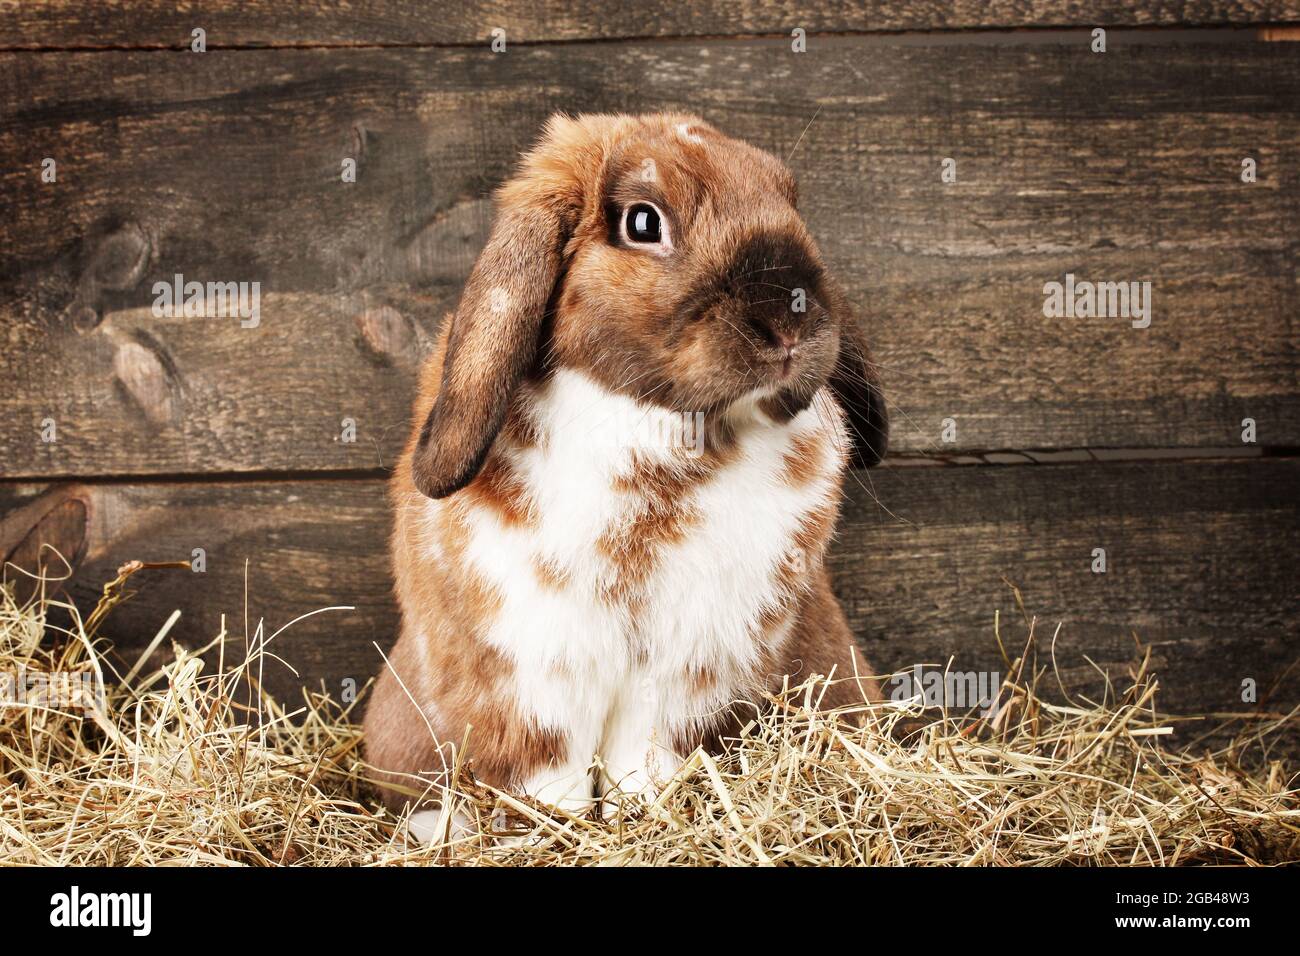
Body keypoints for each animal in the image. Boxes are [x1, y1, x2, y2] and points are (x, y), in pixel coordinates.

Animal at [364, 113, 888, 822]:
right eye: (643, 222)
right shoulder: (530, 673)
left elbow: (645, 761)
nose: (790, 315)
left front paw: (644, 815)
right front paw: (557, 828)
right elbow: (546, 772)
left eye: (790, 201)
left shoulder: (687, 671)